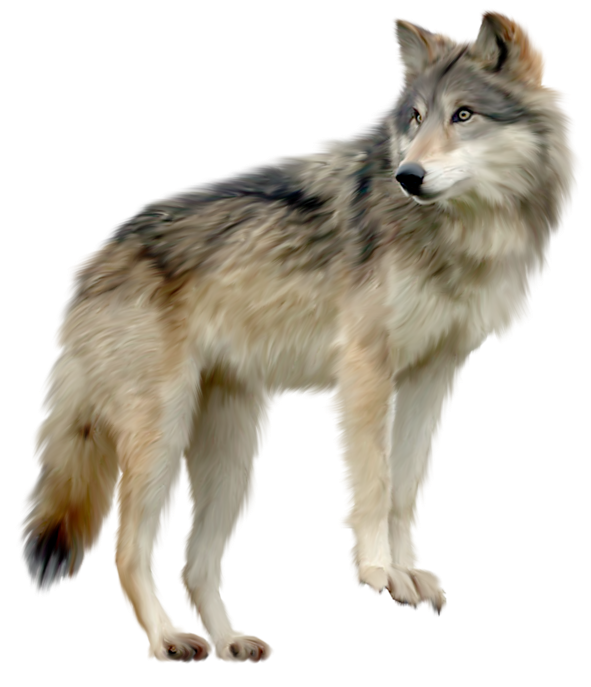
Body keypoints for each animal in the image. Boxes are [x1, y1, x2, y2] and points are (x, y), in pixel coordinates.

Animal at [18, 9, 582, 663]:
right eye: (416, 119)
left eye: (463, 115)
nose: (408, 175)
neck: (460, 232)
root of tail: (90, 261)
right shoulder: (365, 371)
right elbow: (373, 484)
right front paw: (379, 572)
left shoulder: (435, 375)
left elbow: (405, 488)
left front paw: (409, 572)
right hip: (161, 441)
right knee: (130, 547)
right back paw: (169, 639)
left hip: (237, 462)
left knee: (195, 564)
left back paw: (229, 642)